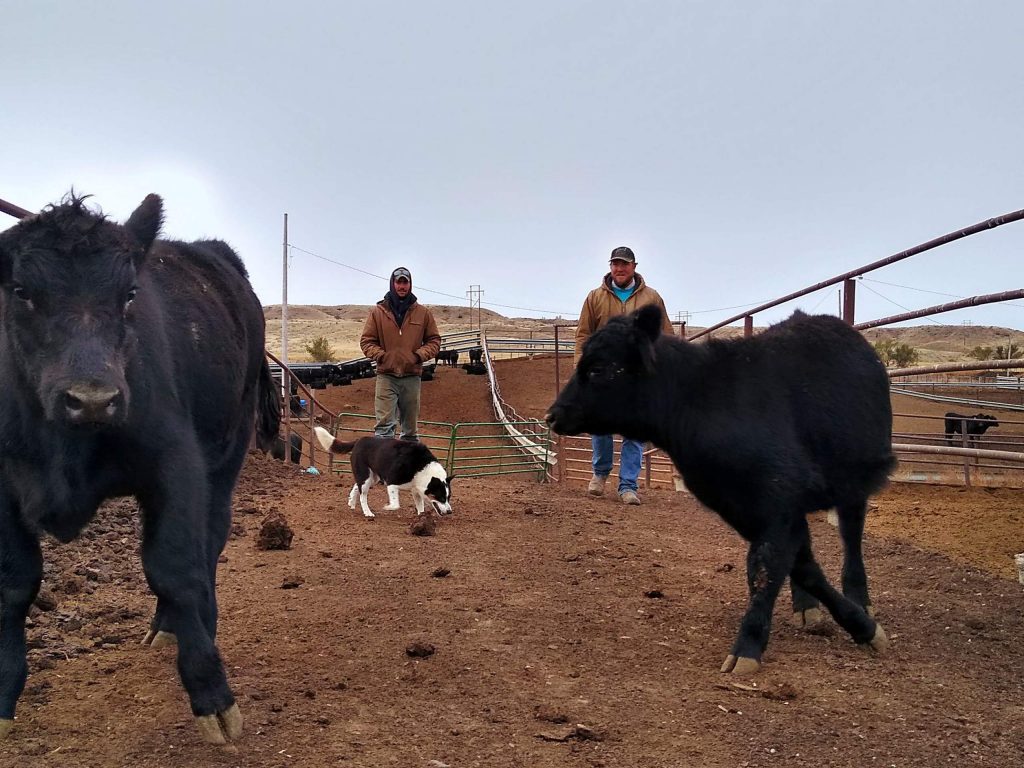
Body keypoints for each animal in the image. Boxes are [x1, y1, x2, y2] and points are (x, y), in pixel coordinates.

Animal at [0, 194, 280, 745]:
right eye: (20, 291)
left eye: (129, 293)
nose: (92, 399)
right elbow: (14, 587)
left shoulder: (175, 463)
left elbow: (175, 569)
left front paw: (212, 695)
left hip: (228, 451)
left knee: (209, 541)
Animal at [545, 305, 894, 675]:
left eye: (597, 369)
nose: (552, 415)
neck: (702, 403)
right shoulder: (744, 508)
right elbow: (801, 568)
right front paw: (847, 622)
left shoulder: (777, 504)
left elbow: (767, 567)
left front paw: (749, 646)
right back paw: (807, 608)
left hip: (854, 482)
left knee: (851, 536)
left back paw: (861, 599)